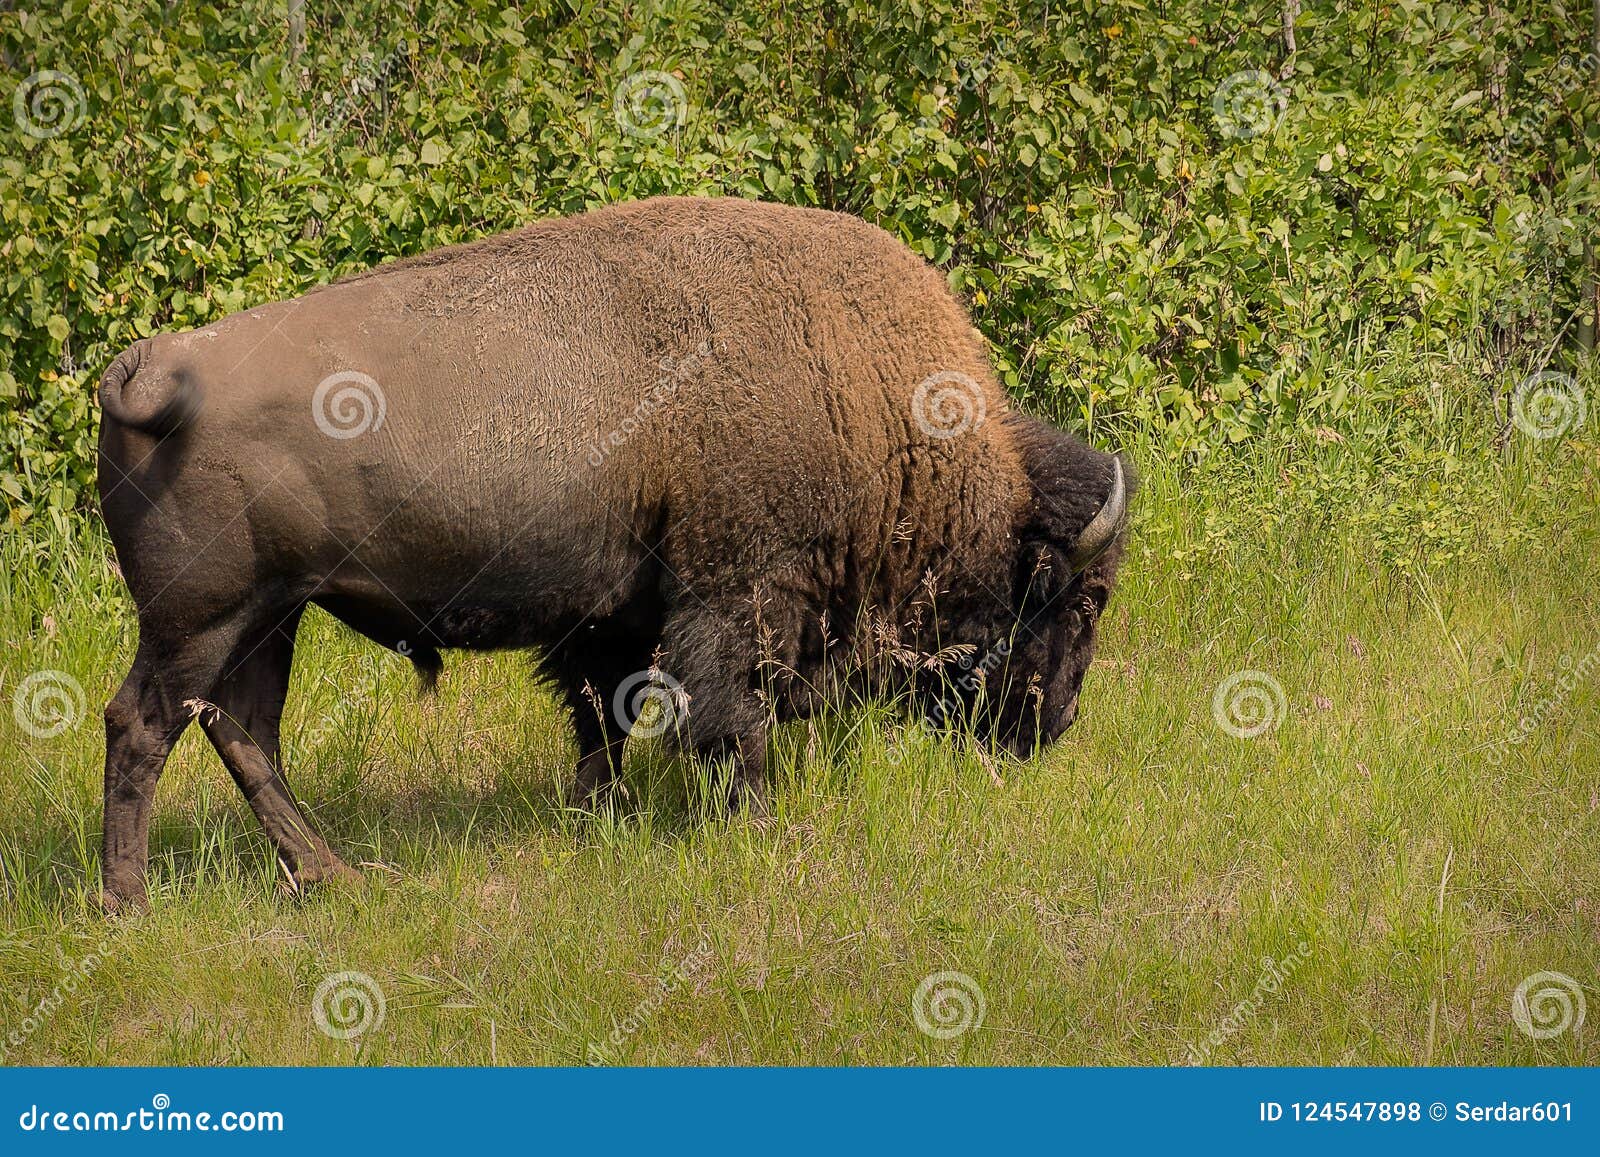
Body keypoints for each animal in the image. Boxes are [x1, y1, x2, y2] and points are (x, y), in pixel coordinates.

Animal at [96, 196, 1129, 910]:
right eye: (1083, 601)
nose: (1059, 724)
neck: (875, 404)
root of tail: (151, 364)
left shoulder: (611, 619)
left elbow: (604, 717)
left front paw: (602, 820)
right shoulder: (733, 596)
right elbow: (731, 722)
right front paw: (754, 830)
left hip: (271, 614)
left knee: (242, 729)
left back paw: (332, 874)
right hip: (200, 618)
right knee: (143, 725)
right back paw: (129, 903)